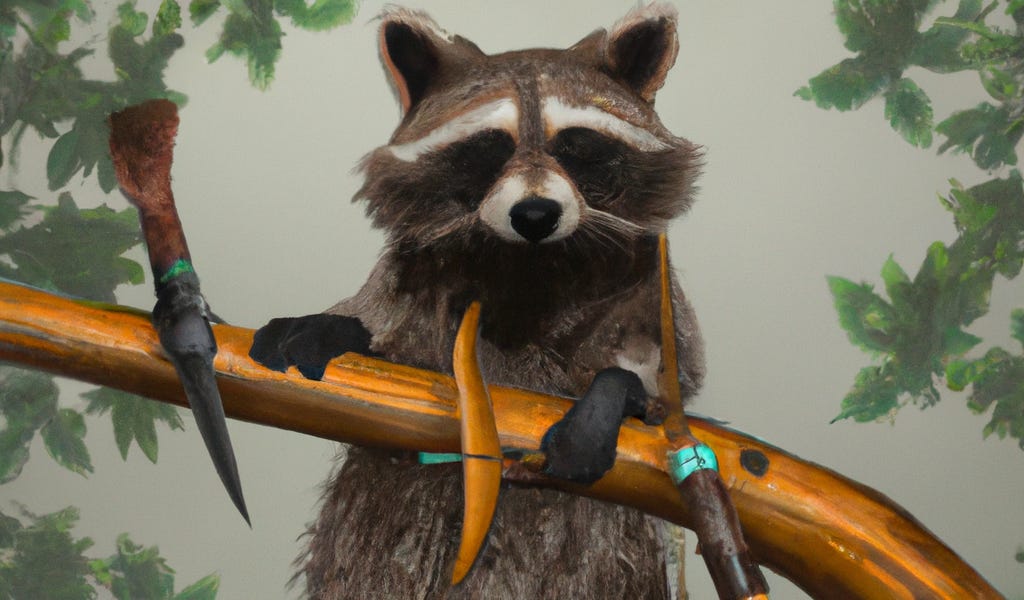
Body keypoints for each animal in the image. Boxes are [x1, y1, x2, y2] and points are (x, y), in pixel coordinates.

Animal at [250, 4, 704, 598]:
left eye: (576, 147)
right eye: (490, 148)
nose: (535, 215)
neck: (530, 260)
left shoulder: (649, 275)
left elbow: (672, 374)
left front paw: (616, 389)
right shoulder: (412, 272)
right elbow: (390, 335)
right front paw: (338, 327)